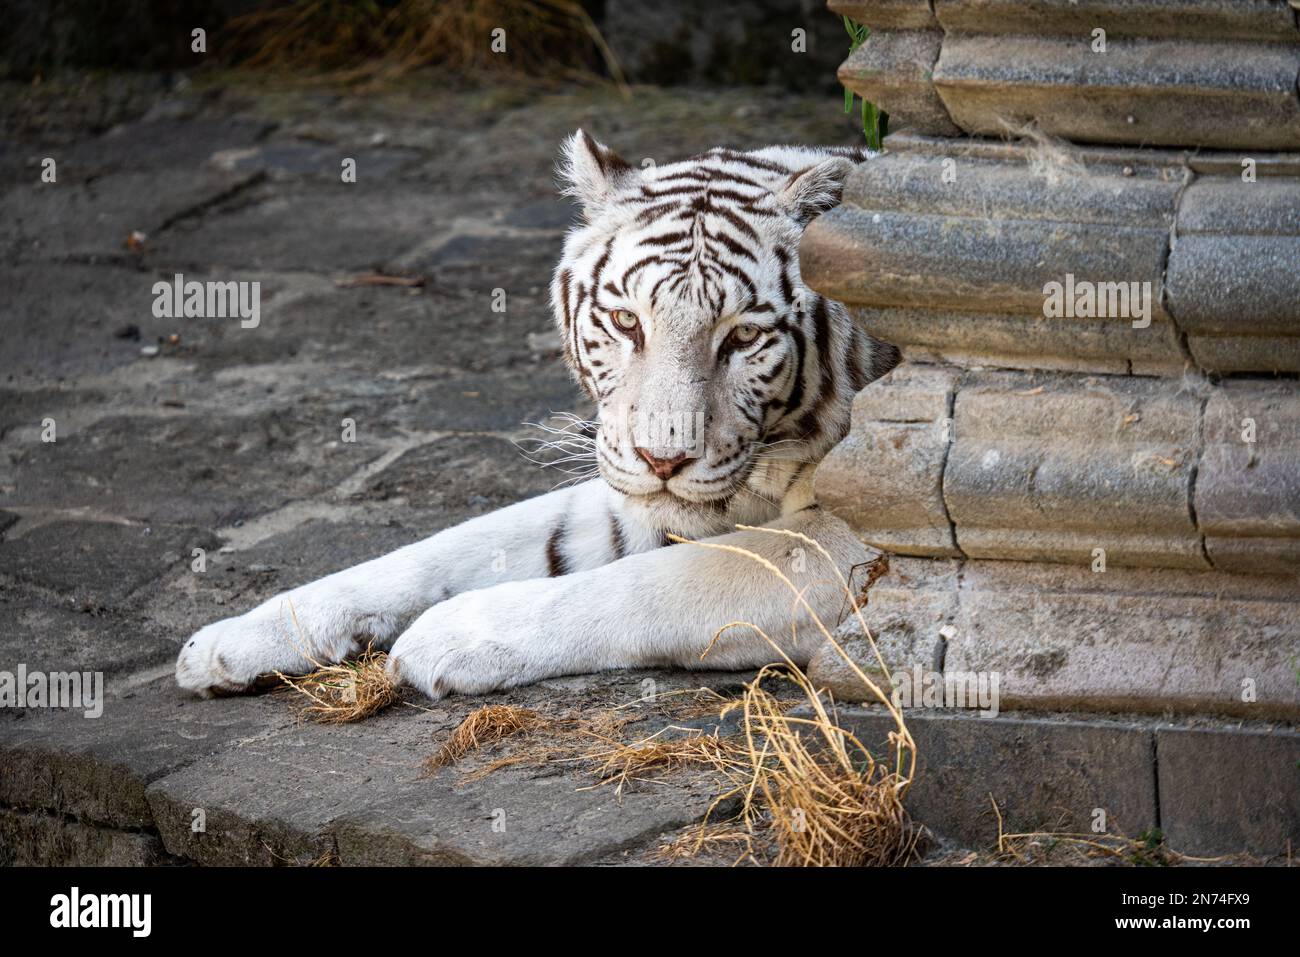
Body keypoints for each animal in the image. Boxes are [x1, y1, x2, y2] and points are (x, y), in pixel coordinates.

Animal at [176, 131, 899, 700]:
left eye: (743, 336)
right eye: (626, 321)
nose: (663, 459)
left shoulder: (859, 543)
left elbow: (664, 579)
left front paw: (447, 635)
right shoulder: (622, 487)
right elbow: (447, 546)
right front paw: (229, 640)